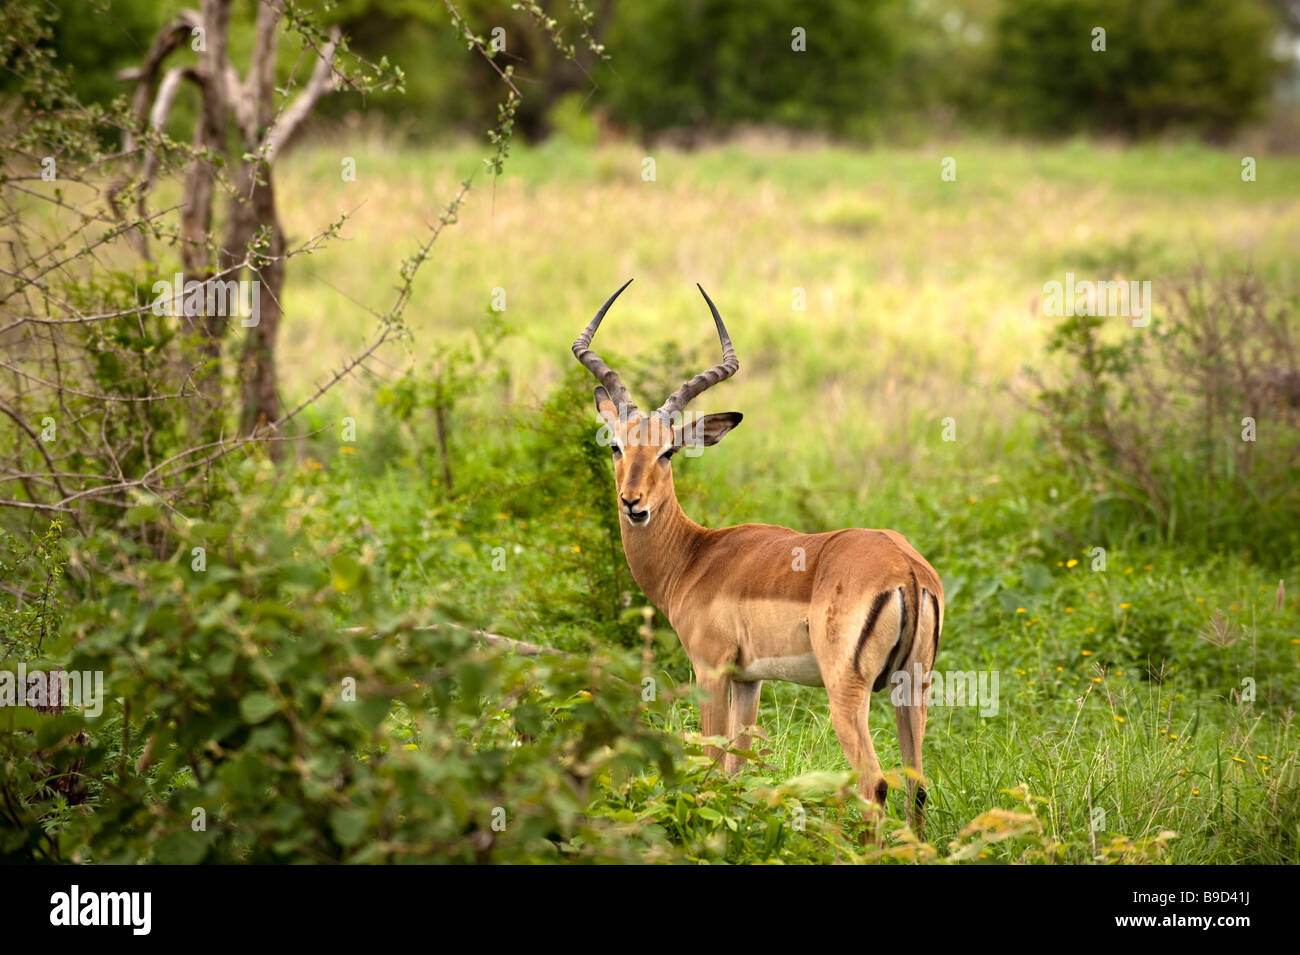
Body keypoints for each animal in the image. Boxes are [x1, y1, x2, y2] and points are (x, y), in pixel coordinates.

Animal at [573, 280, 945, 834]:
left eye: (668, 452)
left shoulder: (709, 671)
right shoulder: (751, 679)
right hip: (912, 687)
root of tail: (907, 569)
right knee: (917, 787)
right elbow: (736, 770)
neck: (695, 556)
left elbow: (709, 764)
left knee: (874, 784)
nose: (632, 503)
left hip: (847, 691)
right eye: (616, 446)